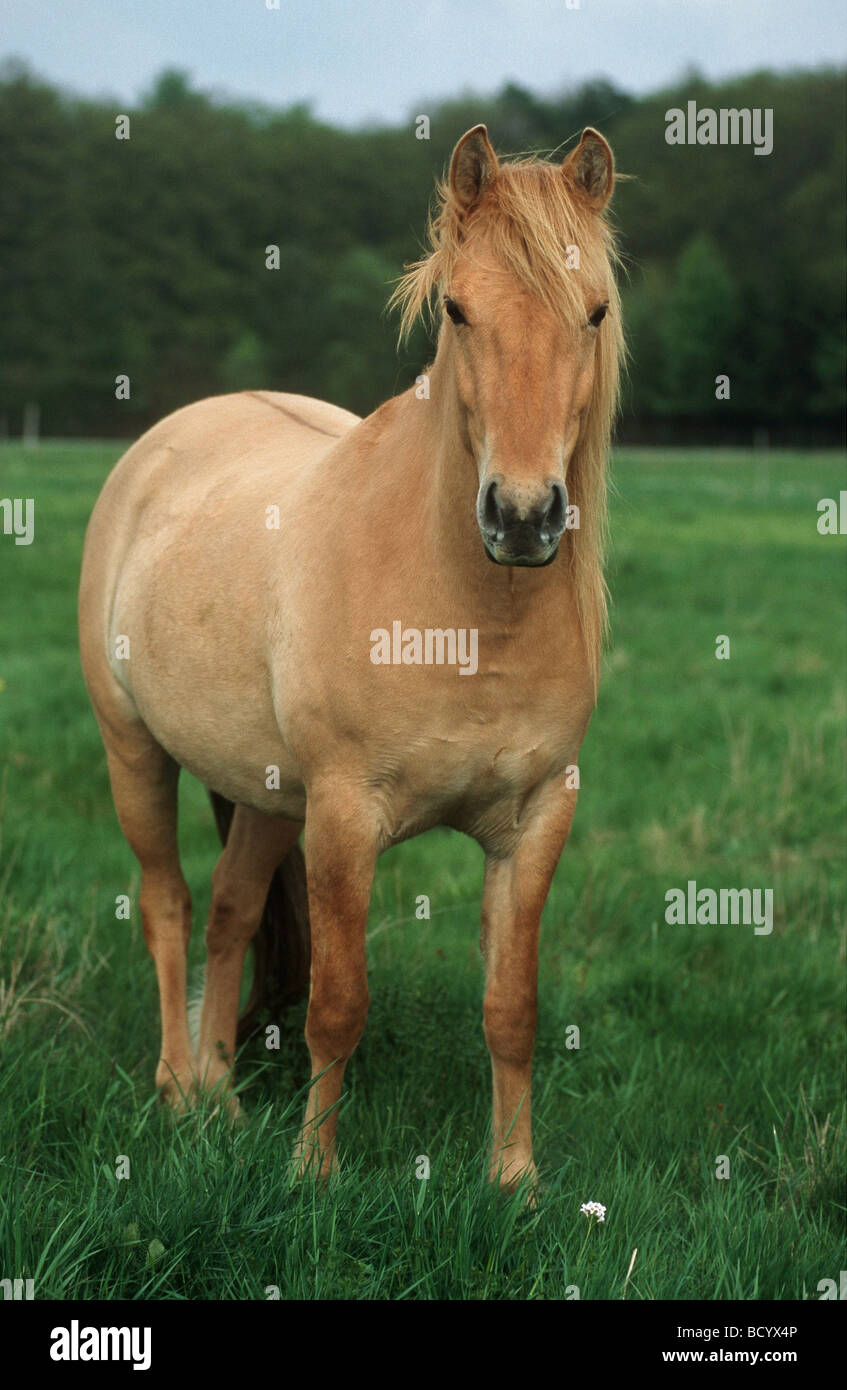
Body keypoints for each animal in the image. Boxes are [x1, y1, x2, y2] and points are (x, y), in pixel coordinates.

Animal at [78, 124, 623, 1190]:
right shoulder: (342, 814)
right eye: (457, 308)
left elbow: (511, 1009)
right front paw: (312, 1175)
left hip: (260, 792)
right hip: (136, 753)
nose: (523, 517)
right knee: (166, 902)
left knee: (230, 909)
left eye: (594, 311)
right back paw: (176, 1089)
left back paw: (219, 1096)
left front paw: (516, 1182)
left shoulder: (538, 818)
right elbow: (337, 1004)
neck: (465, 617)